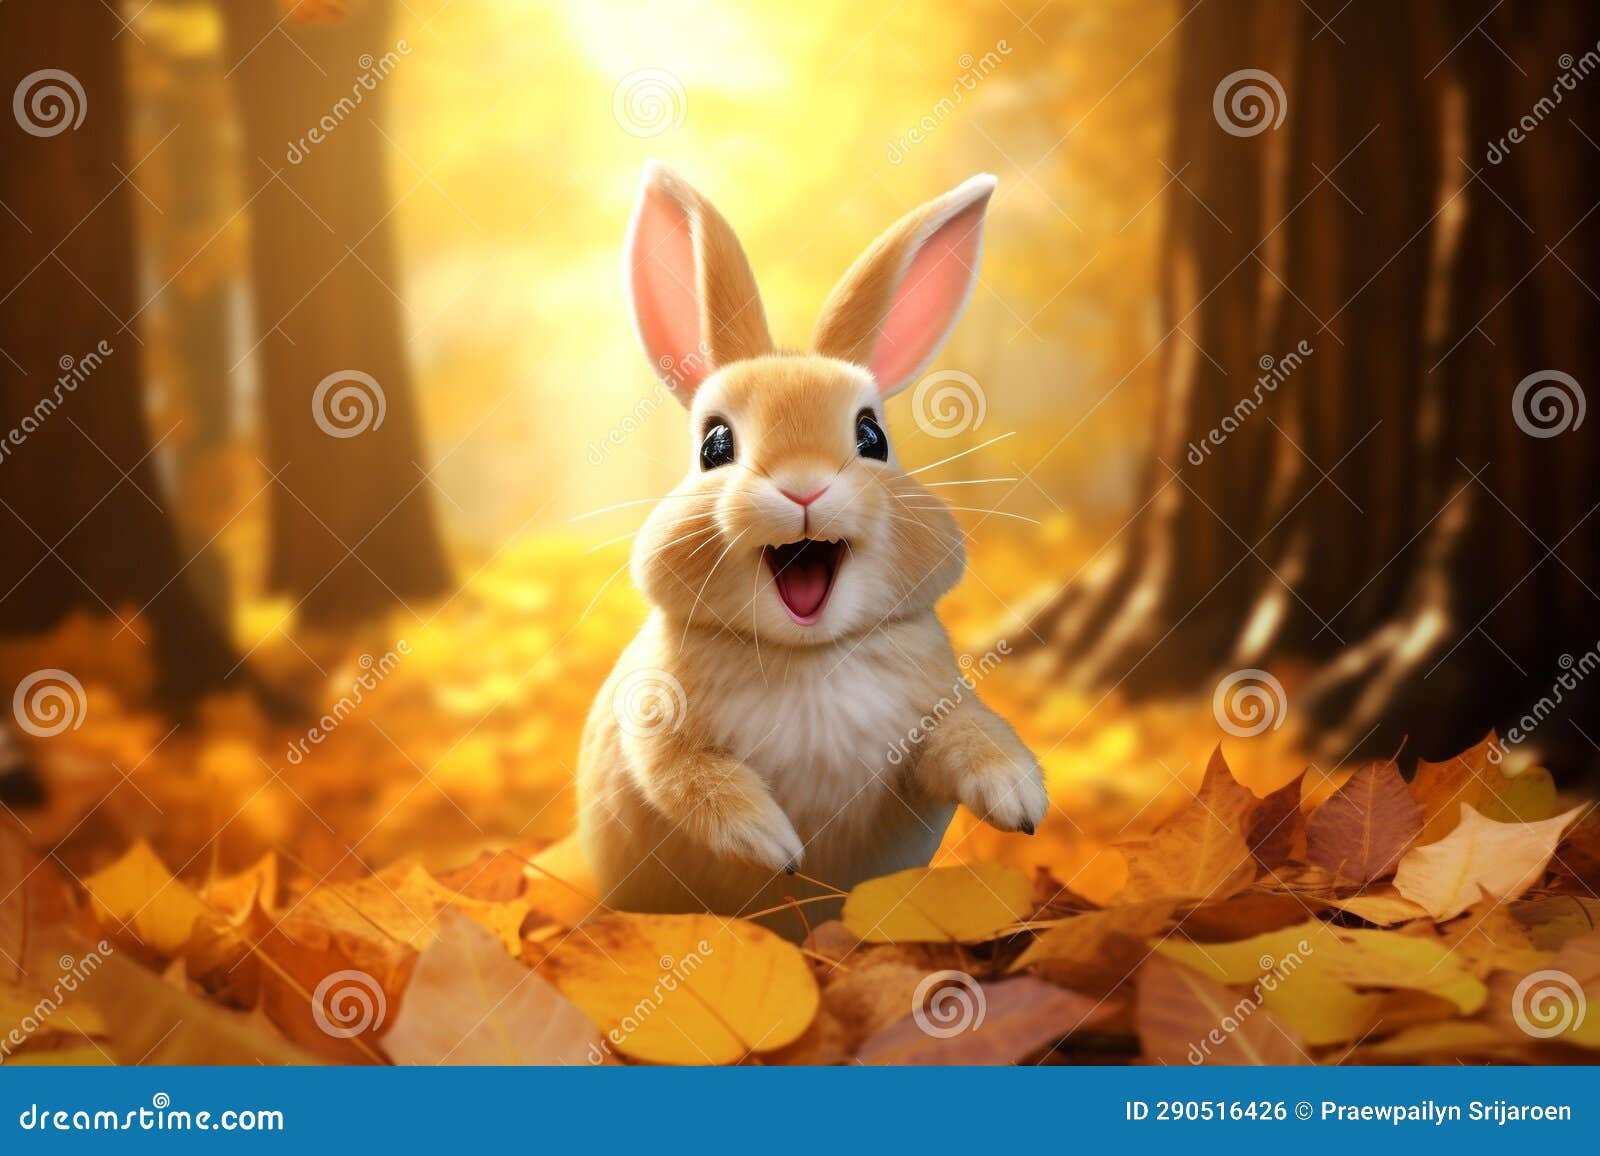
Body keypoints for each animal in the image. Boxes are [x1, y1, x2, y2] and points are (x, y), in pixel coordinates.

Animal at [577, 162, 1048, 940]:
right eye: (715, 446)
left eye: (872, 437)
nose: (804, 486)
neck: (810, 656)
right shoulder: (659, 726)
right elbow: (693, 780)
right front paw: (775, 844)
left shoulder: (938, 710)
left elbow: (974, 739)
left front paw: (1021, 800)